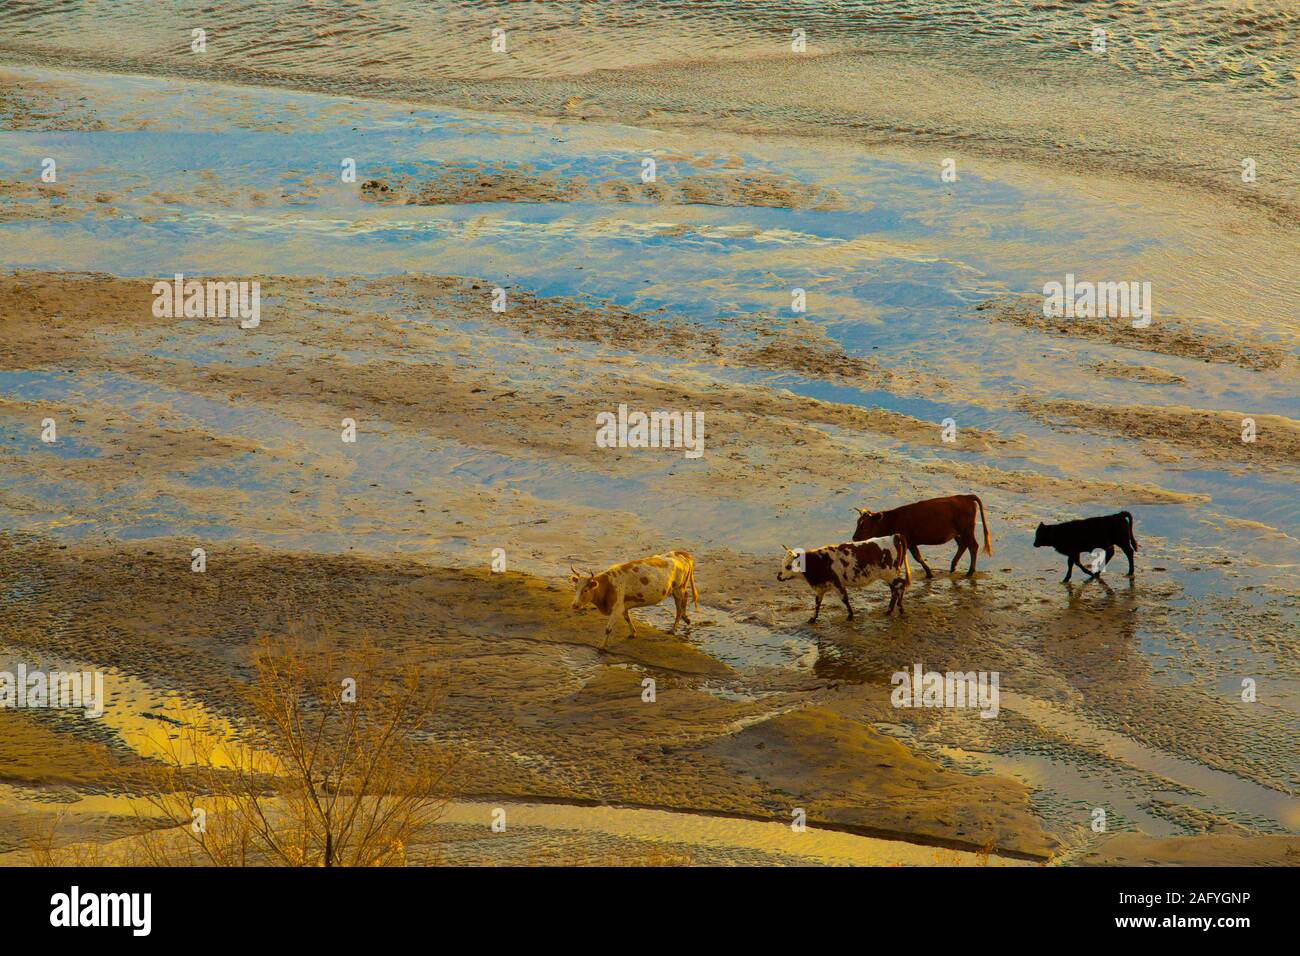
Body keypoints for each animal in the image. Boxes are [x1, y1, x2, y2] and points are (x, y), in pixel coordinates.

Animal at [570, 550, 699, 649]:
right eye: (576, 588)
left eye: (586, 590)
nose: (574, 605)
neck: (608, 585)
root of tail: (680, 553)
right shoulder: (623, 605)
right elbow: (627, 618)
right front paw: (633, 633)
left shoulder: (617, 607)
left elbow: (608, 629)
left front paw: (602, 646)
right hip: (678, 589)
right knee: (685, 599)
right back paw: (686, 619)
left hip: (679, 588)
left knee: (679, 607)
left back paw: (673, 629)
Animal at [776, 535, 912, 622]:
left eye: (788, 566)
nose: (778, 576)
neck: (818, 561)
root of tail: (894, 536)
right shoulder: (821, 587)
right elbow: (817, 603)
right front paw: (813, 618)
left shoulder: (837, 584)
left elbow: (844, 599)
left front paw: (850, 615)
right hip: (889, 576)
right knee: (894, 589)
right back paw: (890, 610)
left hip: (890, 574)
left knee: (901, 585)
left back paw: (900, 608)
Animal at [853, 494, 991, 578]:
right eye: (858, 523)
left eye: (865, 526)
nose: (855, 538)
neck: (894, 519)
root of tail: (965, 497)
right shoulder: (909, 543)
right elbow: (914, 557)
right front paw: (928, 572)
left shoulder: (907, 542)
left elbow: (913, 557)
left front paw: (928, 573)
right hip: (958, 533)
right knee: (963, 545)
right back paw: (953, 567)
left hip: (967, 530)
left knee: (973, 546)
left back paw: (970, 572)